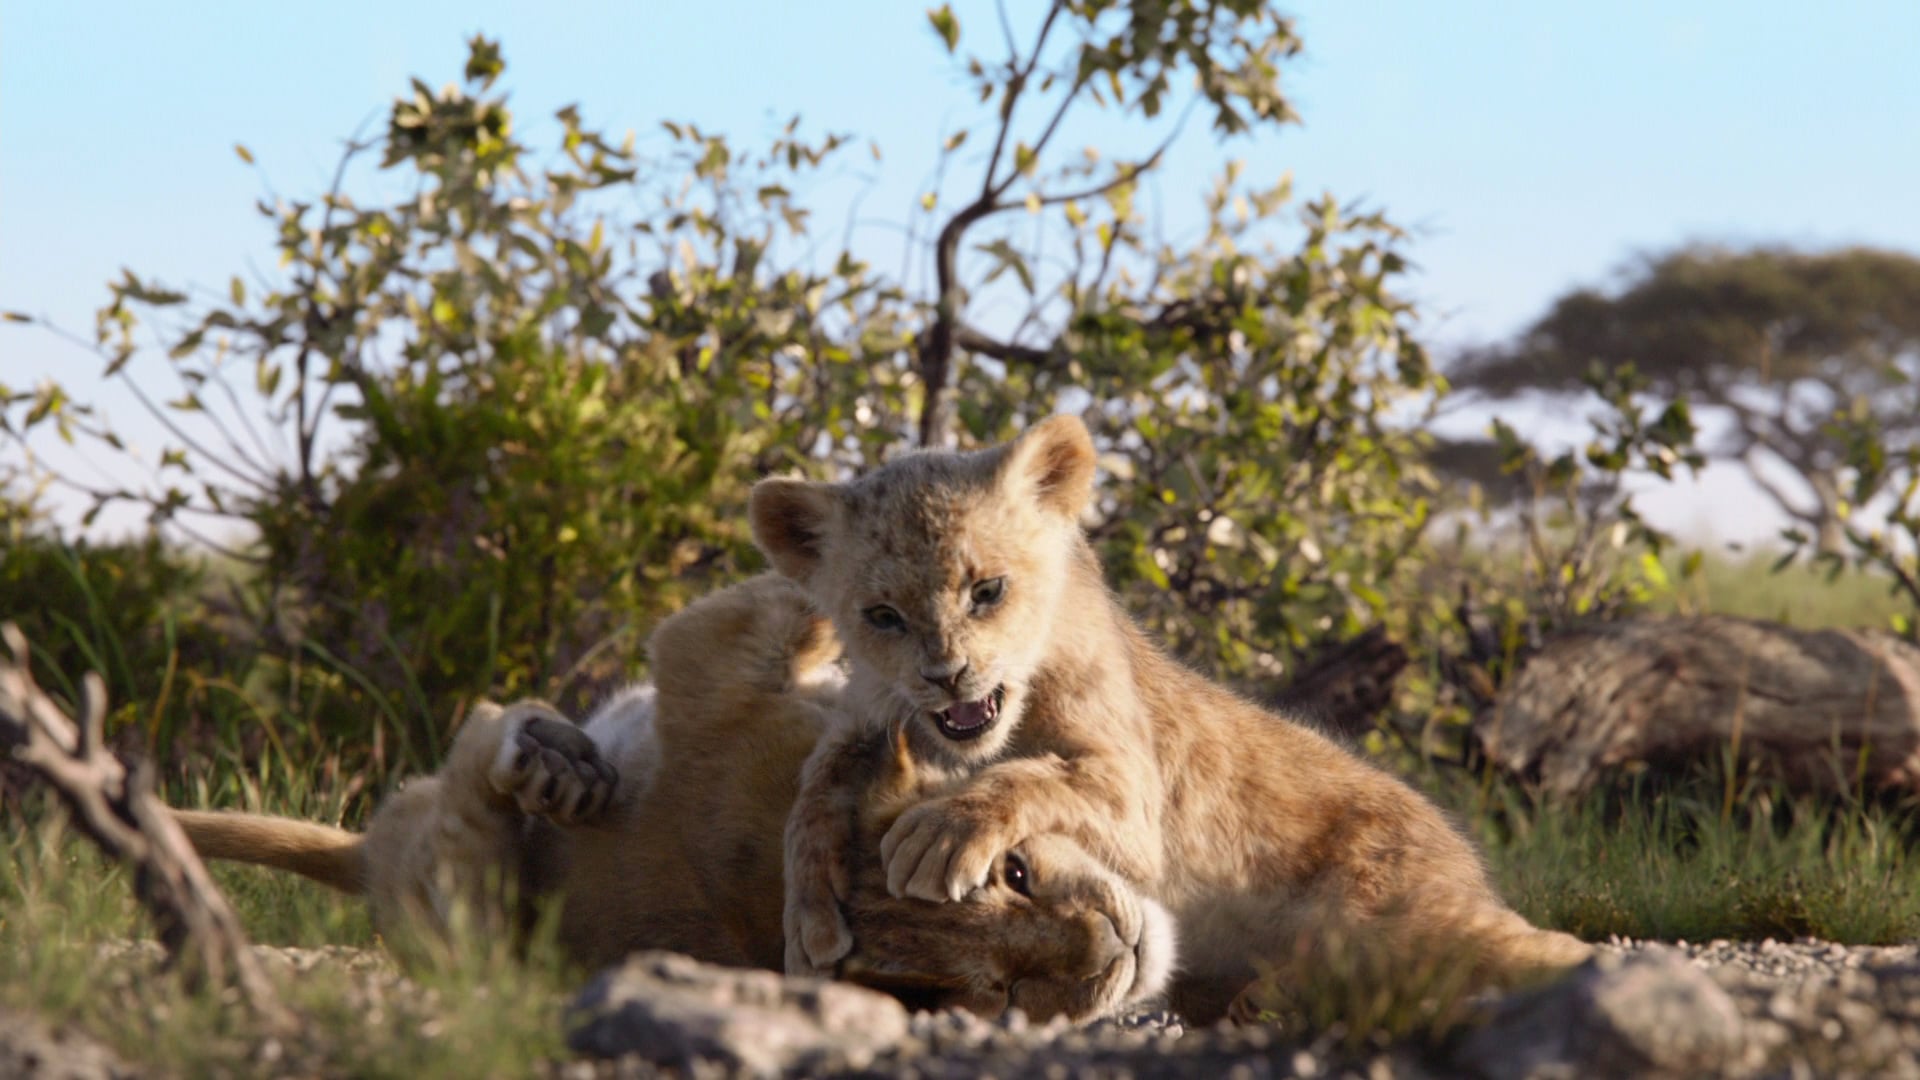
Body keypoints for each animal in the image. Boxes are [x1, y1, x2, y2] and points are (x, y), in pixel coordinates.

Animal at [172, 574, 1175, 1023]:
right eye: (1000, 991)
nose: (1117, 952)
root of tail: (364, 861)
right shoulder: (707, 664)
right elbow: (802, 595)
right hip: (470, 919)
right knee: (477, 744)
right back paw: (549, 765)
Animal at [751, 414, 1593, 1024]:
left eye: (987, 590)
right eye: (883, 617)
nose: (945, 674)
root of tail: (1467, 860)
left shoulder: (1135, 801)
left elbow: (1033, 776)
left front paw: (940, 834)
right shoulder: (864, 712)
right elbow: (808, 798)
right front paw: (808, 925)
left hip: (1405, 908)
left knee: (1524, 952)